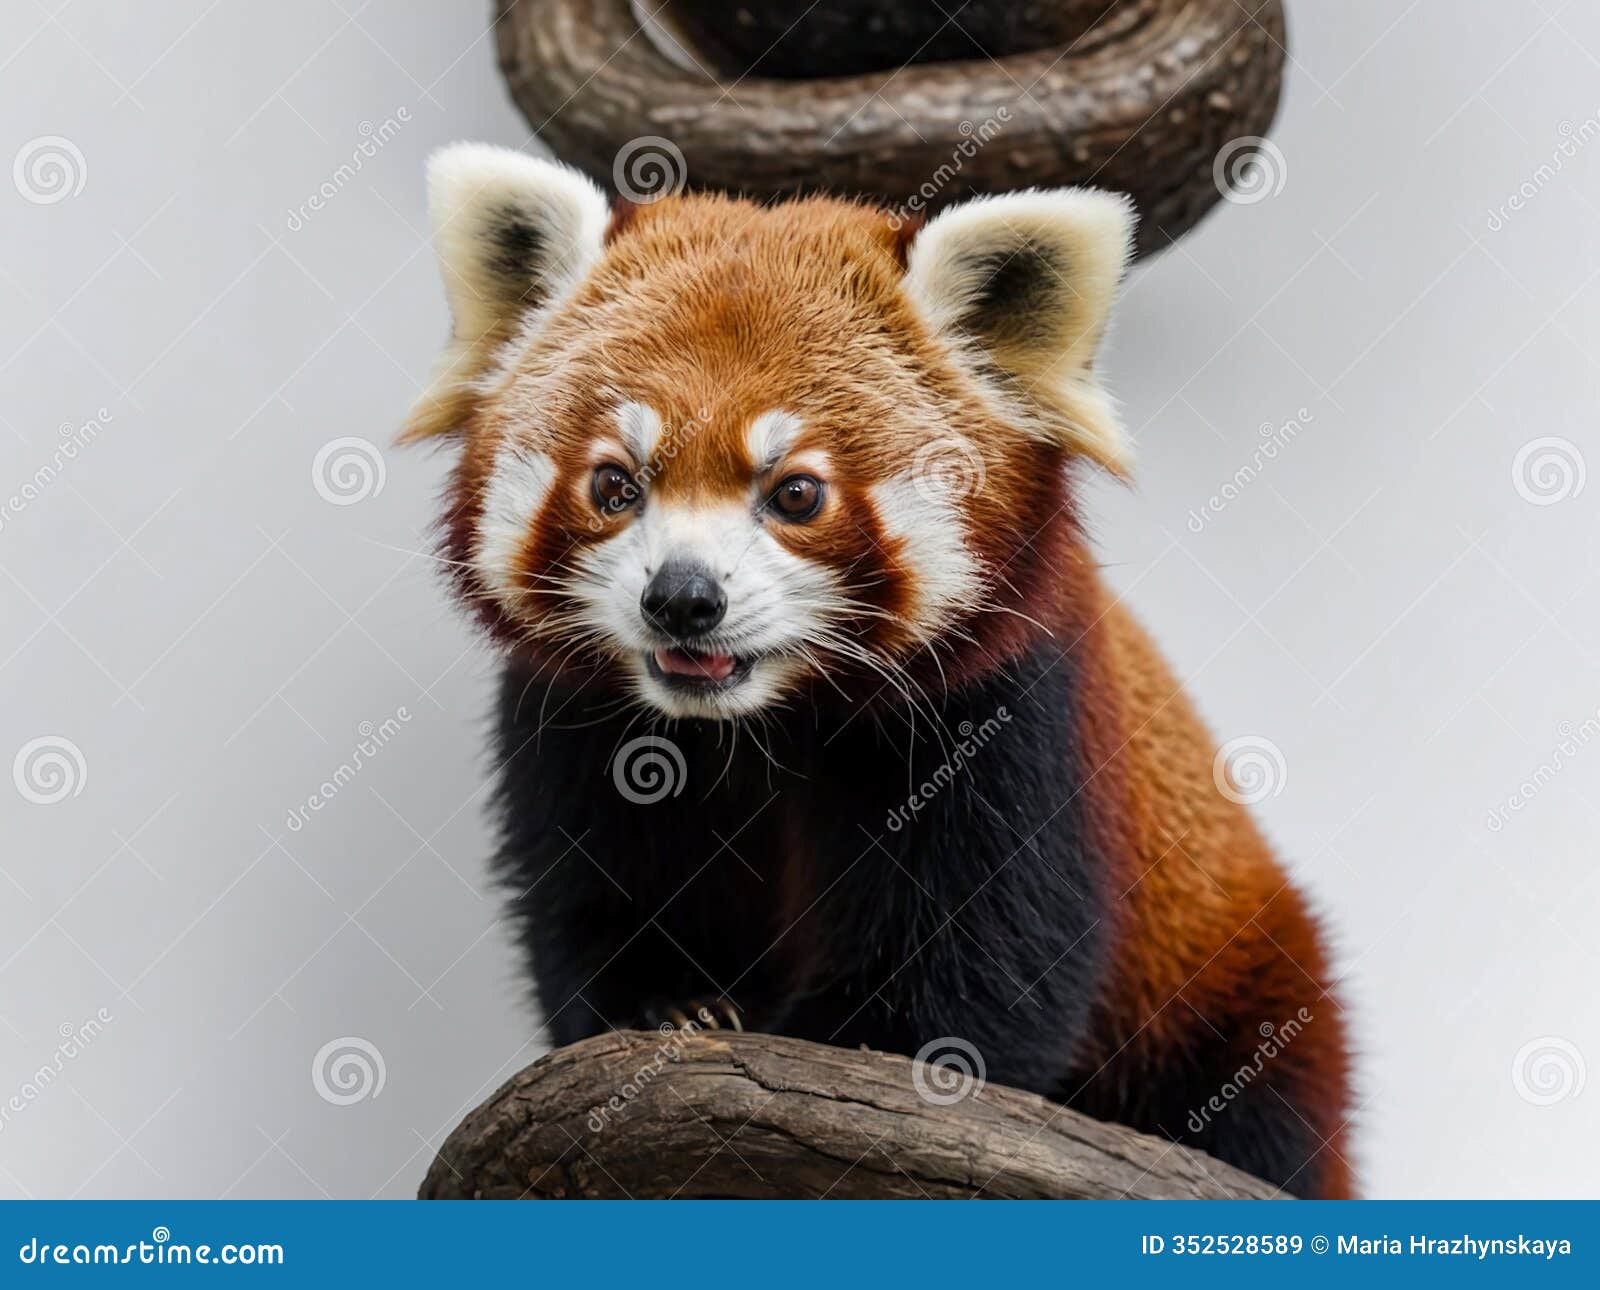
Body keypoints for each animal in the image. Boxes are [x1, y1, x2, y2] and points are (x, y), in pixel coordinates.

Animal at [400, 143, 1354, 1198]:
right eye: (615, 484)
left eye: (796, 493)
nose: (682, 599)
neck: (759, 721)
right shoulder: (579, 725)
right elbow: (589, 903)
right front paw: (669, 1007)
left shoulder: (1008, 713)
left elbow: (988, 965)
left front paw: (826, 1046)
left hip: (1241, 989)